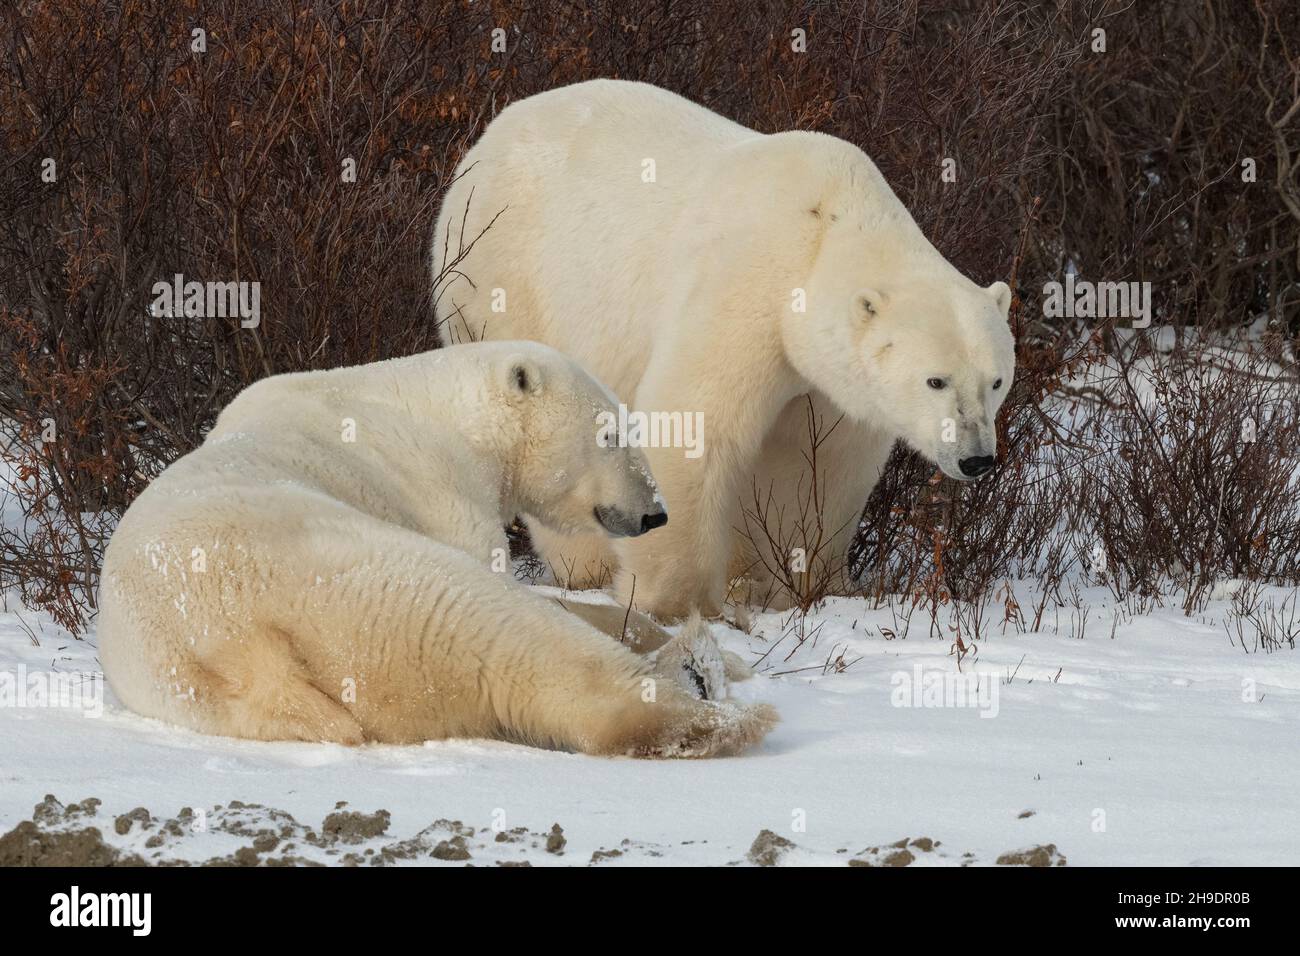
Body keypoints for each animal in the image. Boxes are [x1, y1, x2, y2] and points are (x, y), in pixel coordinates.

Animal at [97, 340, 777, 757]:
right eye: (611, 432)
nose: (654, 512)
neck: (436, 409)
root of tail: (233, 647)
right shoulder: (438, 486)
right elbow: (513, 580)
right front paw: (723, 656)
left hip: (220, 695)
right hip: (354, 589)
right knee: (496, 627)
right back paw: (707, 695)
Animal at [432, 79, 1016, 621]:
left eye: (996, 381)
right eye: (935, 379)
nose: (977, 458)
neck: (822, 234)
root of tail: (489, 137)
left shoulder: (830, 379)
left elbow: (821, 463)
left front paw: (807, 585)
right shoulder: (744, 290)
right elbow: (694, 425)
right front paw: (672, 599)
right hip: (504, 280)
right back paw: (588, 564)